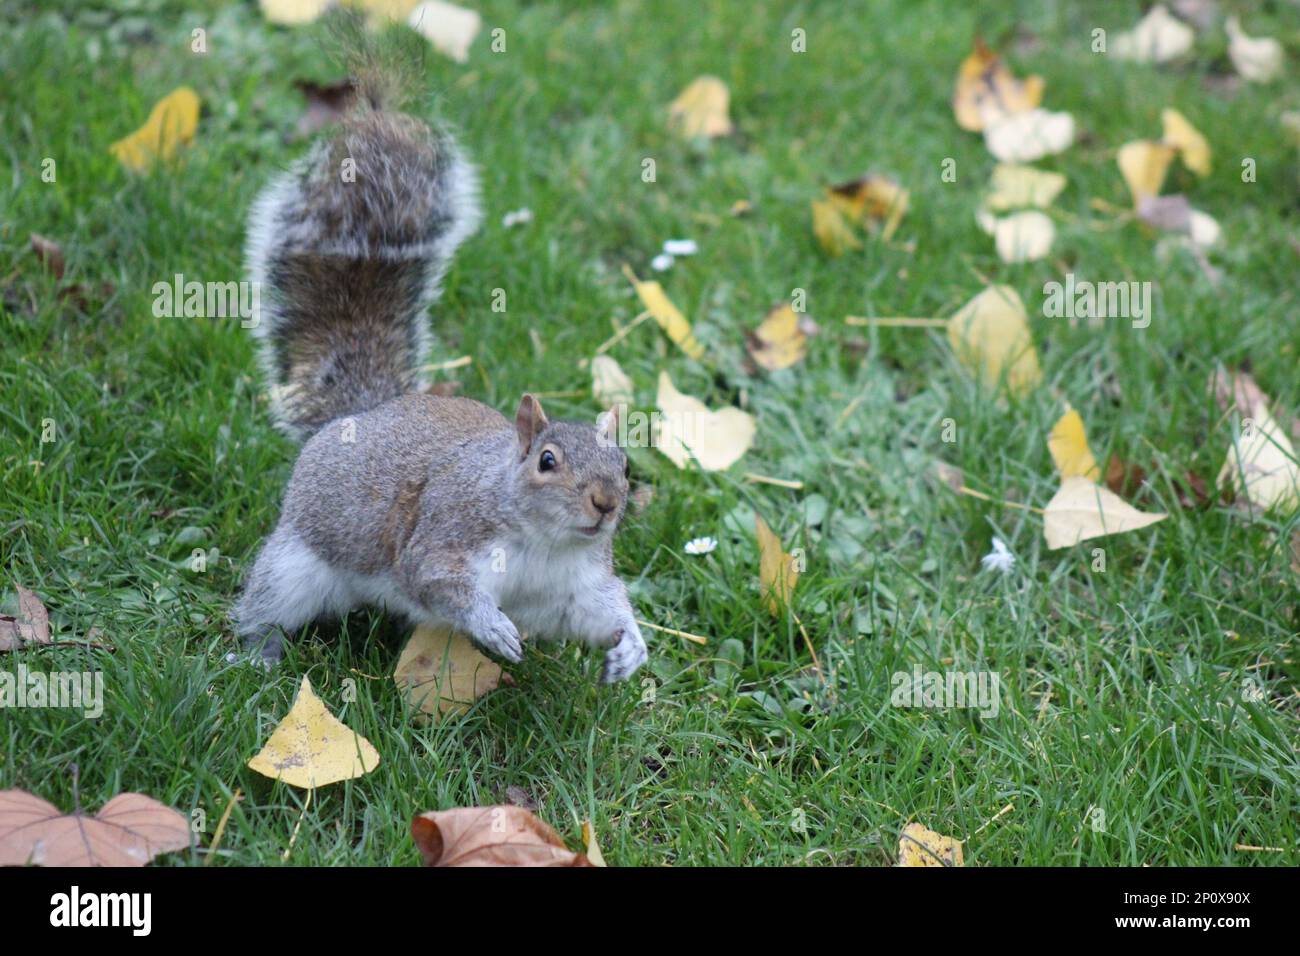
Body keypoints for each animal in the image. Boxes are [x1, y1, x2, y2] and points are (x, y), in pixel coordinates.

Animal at [231, 59, 648, 684]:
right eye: (547, 461)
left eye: (624, 465)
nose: (605, 503)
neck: (546, 542)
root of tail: (361, 413)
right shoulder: (444, 536)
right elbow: (435, 581)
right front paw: (491, 625)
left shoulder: (576, 588)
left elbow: (598, 614)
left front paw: (630, 647)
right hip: (295, 561)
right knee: (268, 602)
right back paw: (258, 650)